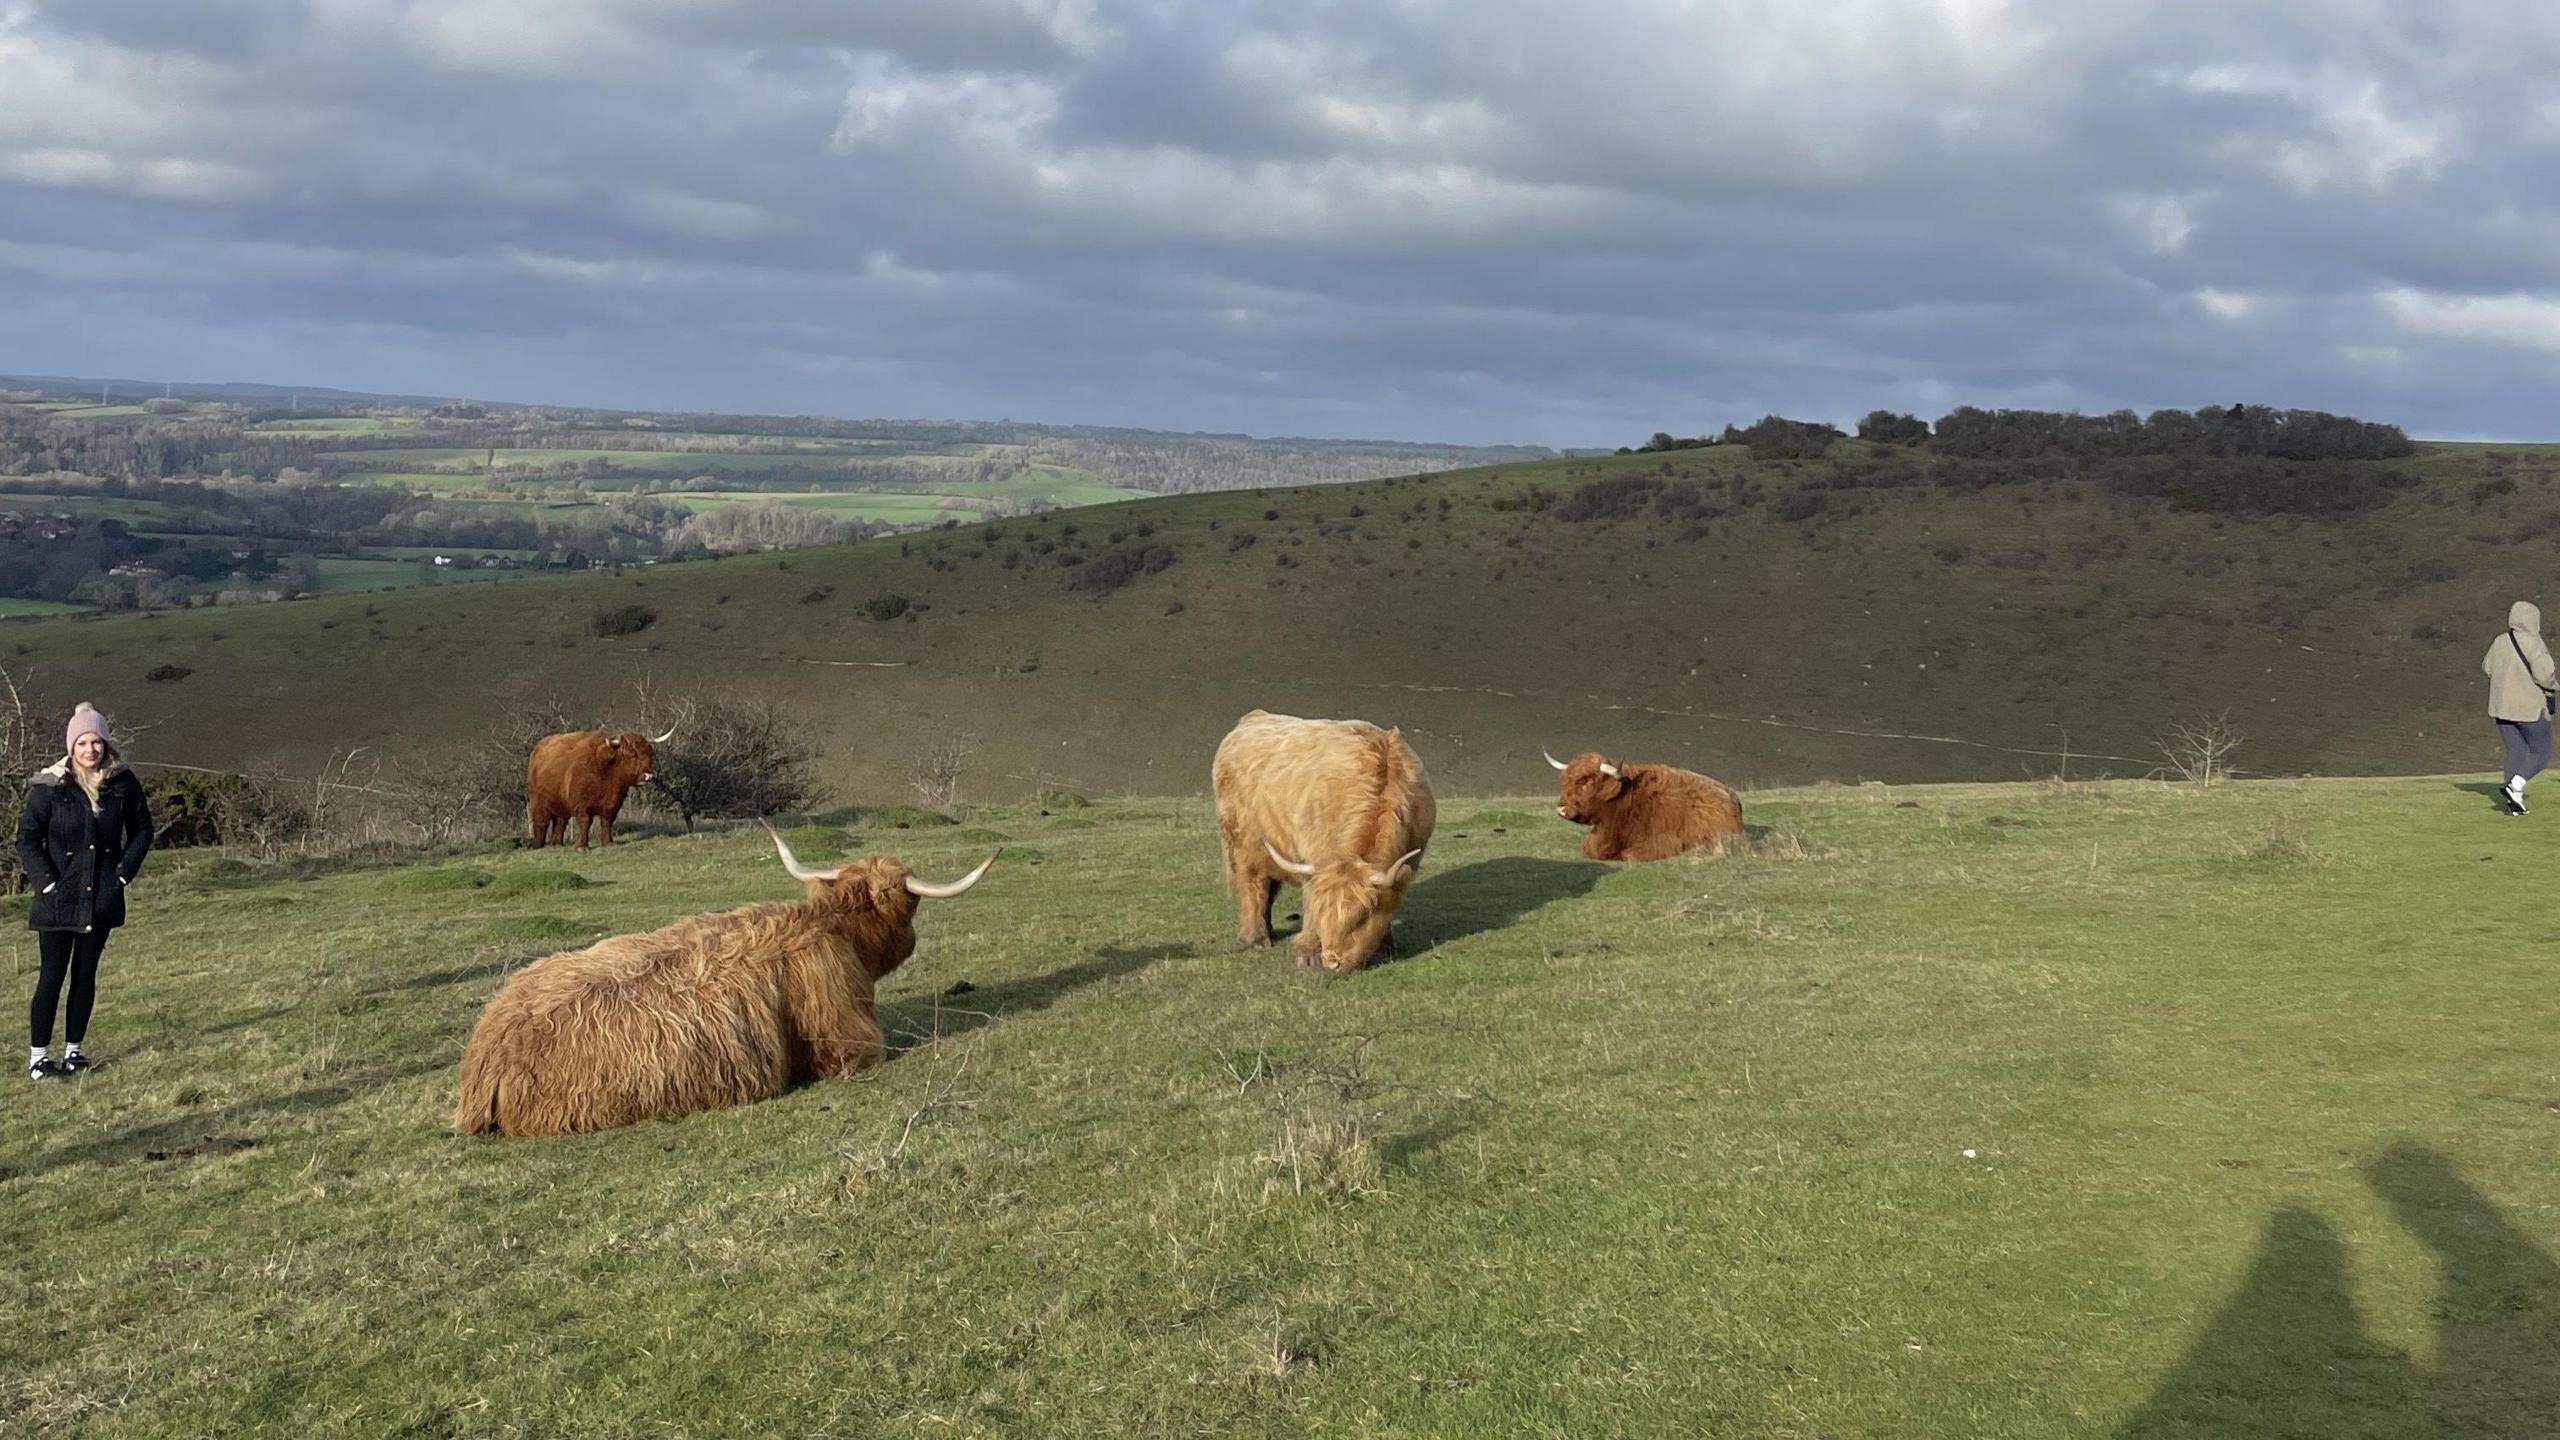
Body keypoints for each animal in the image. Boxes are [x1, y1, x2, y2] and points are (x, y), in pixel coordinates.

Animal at [526, 724, 675, 850]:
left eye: (650, 755)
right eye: (633, 755)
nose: (648, 775)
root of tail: (537, 749)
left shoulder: (613, 804)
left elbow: (607, 821)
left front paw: (608, 843)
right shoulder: (581, 805)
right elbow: (585, 822)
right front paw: (582, 847)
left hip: (561, 804)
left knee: (560, 823)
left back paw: (557, 844)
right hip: (538, 802)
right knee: (541, 822)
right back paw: (537, 846)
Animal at [1213, 709, 1435, 974]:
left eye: (1362, 917)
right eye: (1323, 914)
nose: (1332, 961)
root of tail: (1254, 717)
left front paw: (1385, 947)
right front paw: (1307, 954)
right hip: (1241, 845)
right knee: (1253, 885)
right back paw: (1256, 937)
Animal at [1545, 749, 1744, 861]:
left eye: (1587, 783)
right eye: (1565, 781)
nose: (1561, 809)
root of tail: (1732, 796)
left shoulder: (1662, 842)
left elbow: (1630, 855)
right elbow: (1588, 848)